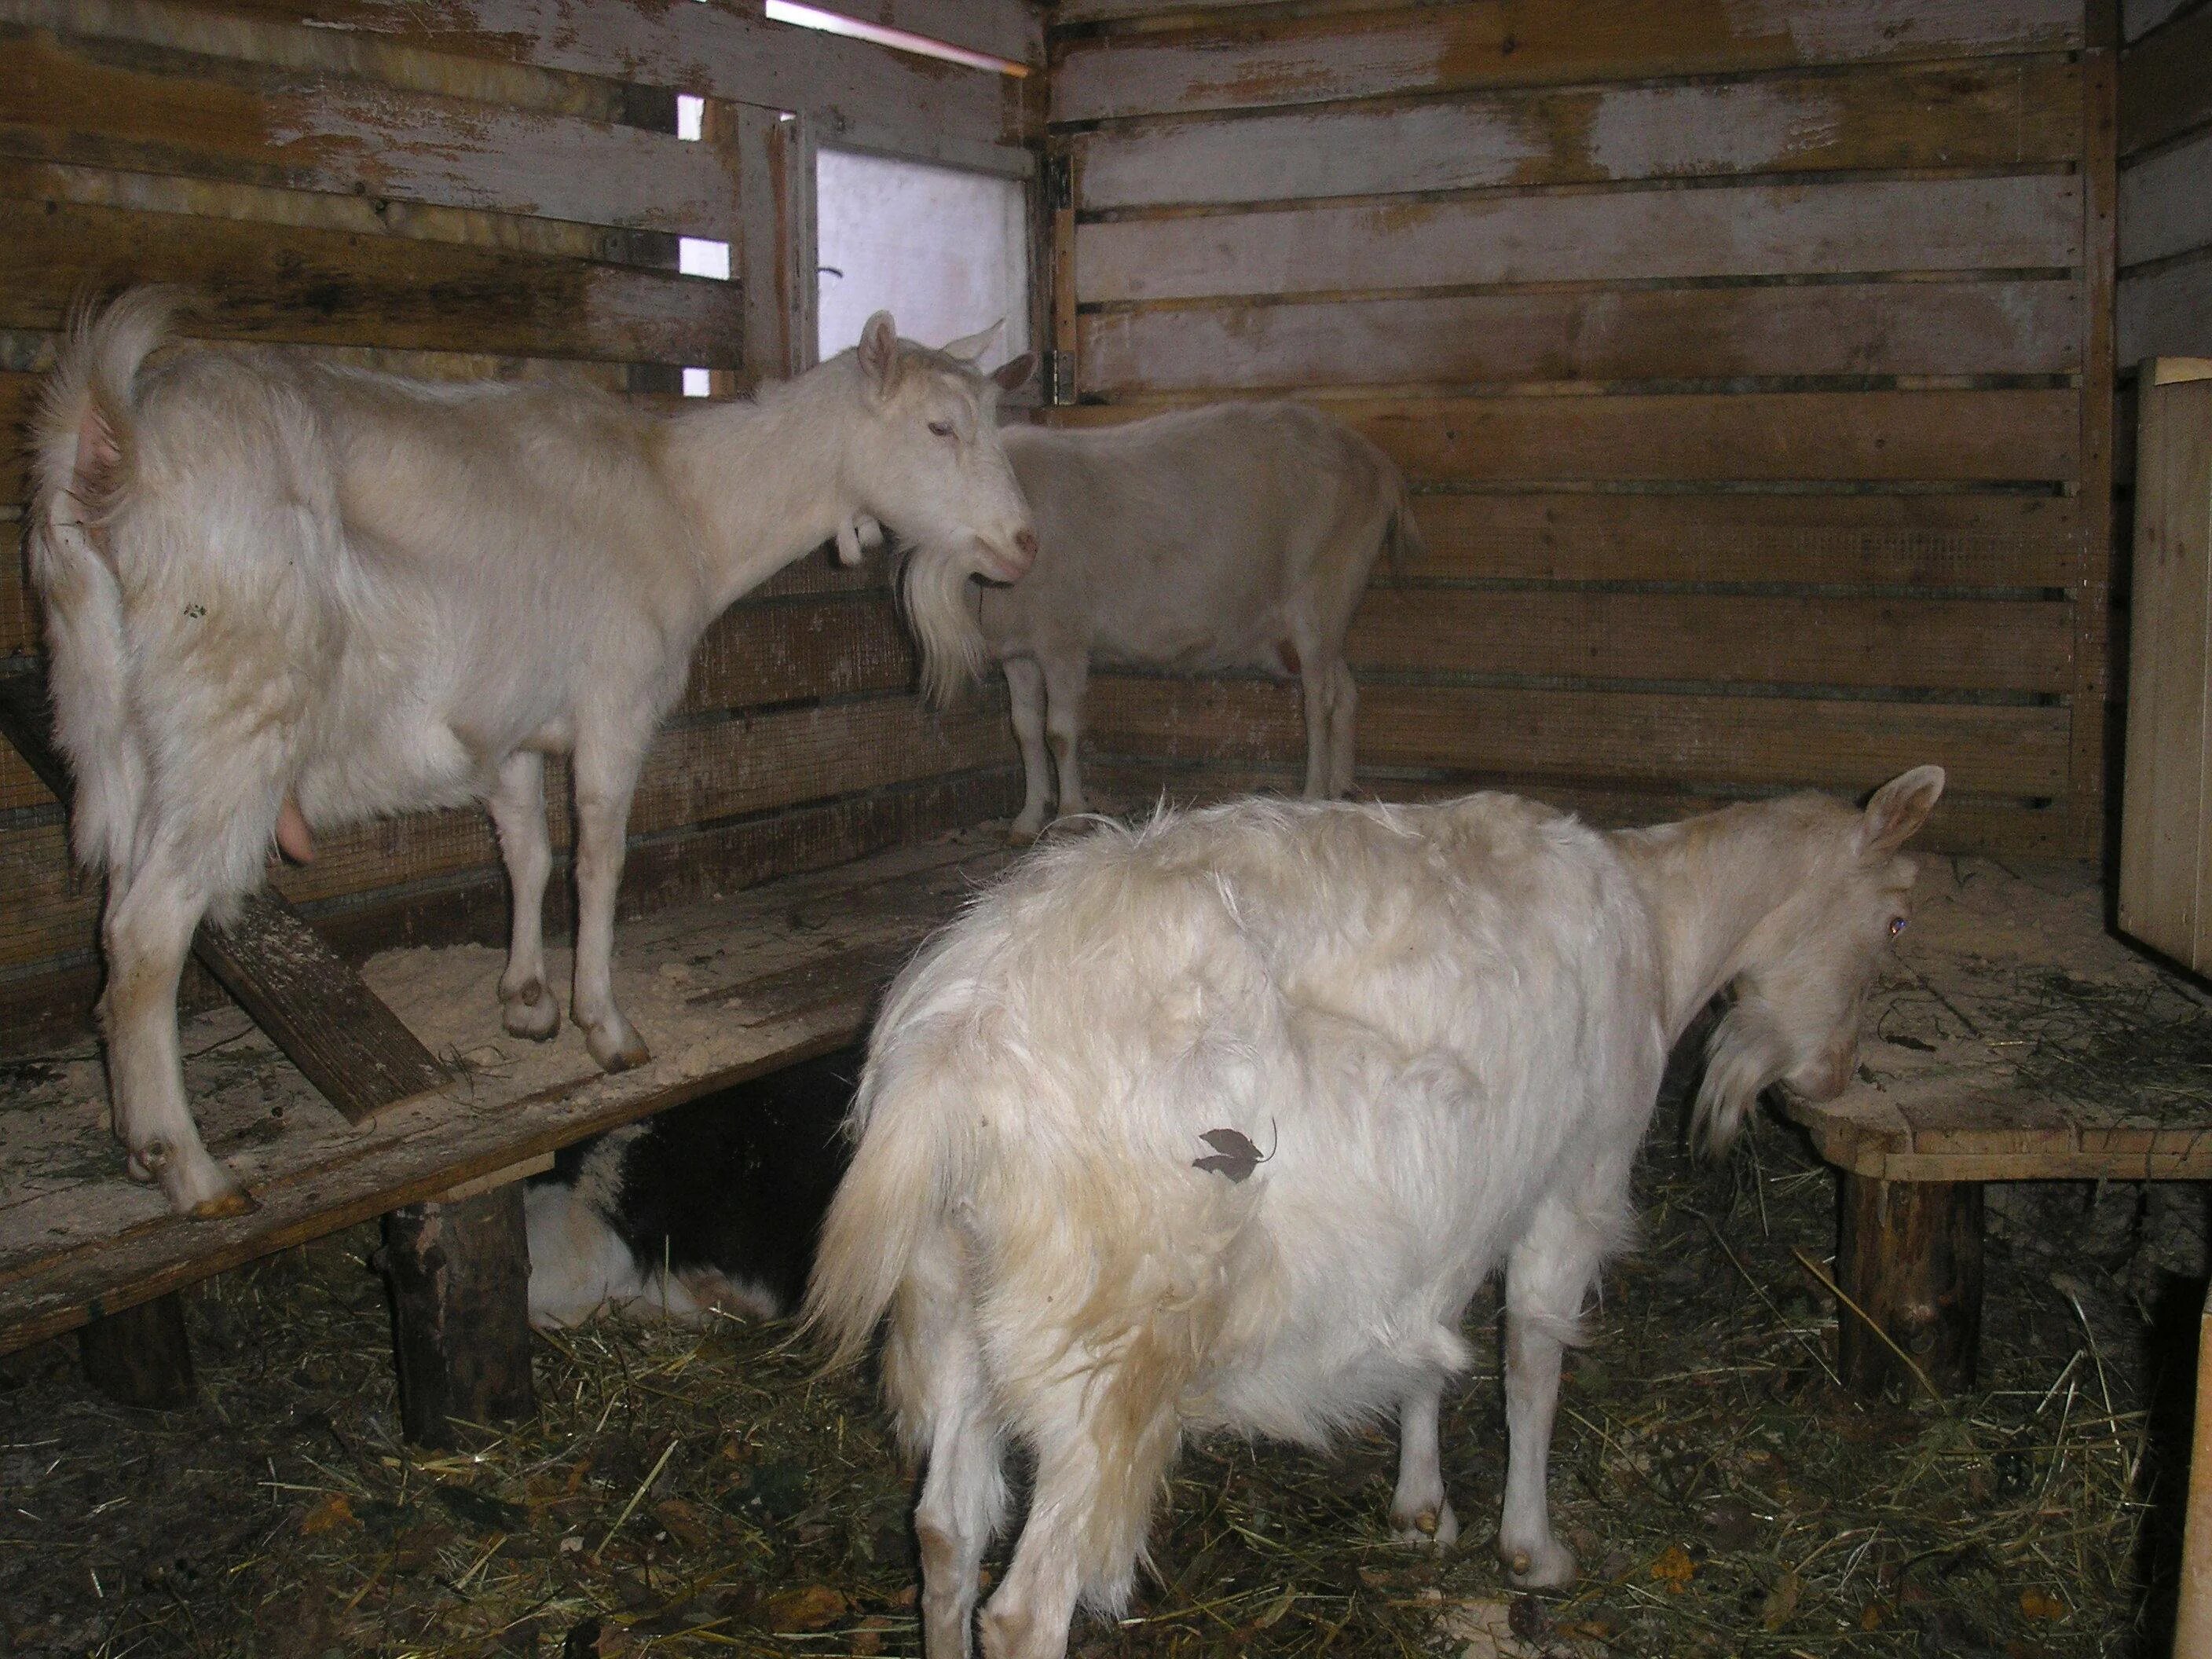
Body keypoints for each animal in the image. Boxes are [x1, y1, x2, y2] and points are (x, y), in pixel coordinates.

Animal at [32, 289, 1035, 1221]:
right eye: (938, 427)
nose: (1023, 543)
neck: (685, 500)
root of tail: (112, 437)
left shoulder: (508, 718)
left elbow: (527, 850)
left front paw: (525, 1000)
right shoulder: (614, 701)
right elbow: (599, 860)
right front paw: (605, 1025)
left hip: (112, 722)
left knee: (115, 909)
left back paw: (135, 1143)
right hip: (226, 711)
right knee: (149, 931)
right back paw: (192, 1170)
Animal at [809, 774, 1937, 1654]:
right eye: (1893, 922)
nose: (1831, 1081)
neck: (1662, 925)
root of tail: (946, 1055)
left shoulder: (1444, 1205)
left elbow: (1429, 1349)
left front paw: (1420, 1507)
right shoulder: (1573, 1176)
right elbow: (1531, 1359)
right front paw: (1533, 1550)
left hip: (954, 1305)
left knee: (945, 1535)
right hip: (1106, 1348)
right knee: (1024, 1611)